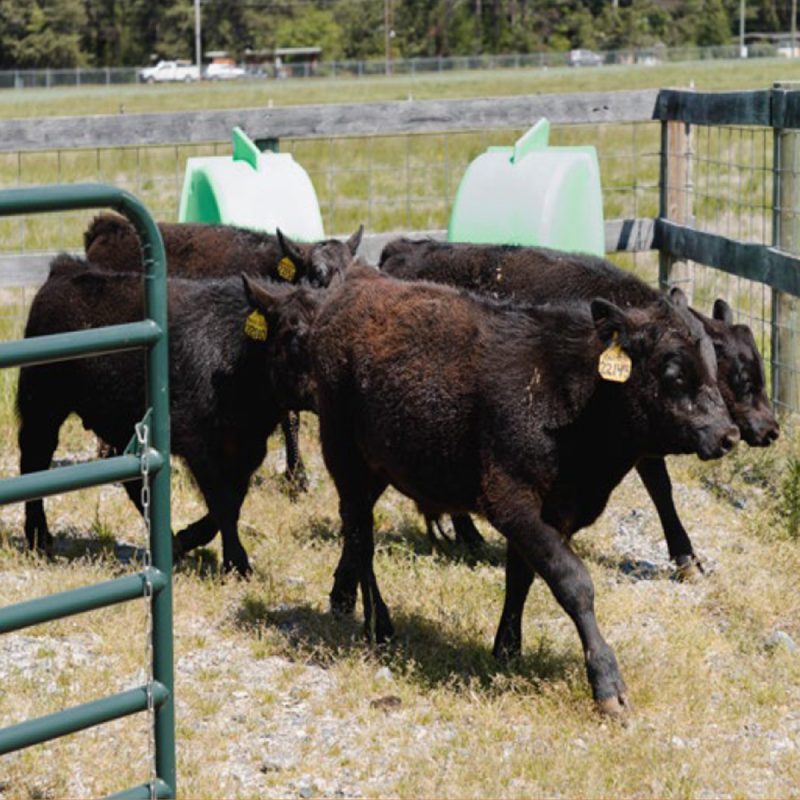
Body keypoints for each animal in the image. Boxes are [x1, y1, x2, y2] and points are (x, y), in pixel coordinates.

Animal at [18, 255, 321, 576]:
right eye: (293, 334)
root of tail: (65, 268)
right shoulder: (199, 443)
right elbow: (222, 502)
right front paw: (237, 563)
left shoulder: (247, 448)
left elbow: (232, 501)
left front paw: (191, 537)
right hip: (41, 404)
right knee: (34, 459)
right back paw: (38, 537)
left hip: (121, 422)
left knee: (133, 479)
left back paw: (170, 543)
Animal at [310, 266, 739, 714]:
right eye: (674, 374)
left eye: (713, 368)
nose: (728, 435)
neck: (570, 403)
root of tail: (361, 278)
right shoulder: (510, 500)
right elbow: (573, 582)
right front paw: (607, 684)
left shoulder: (553, 511)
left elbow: (521, 576)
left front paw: (507, 650)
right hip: (342, 452)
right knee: (362, 536)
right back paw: (379, 623)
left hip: (376, 464)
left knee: (353, 531)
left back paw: (343, 596)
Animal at [380, 239, 779, 572]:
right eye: (742, 379)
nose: (772, 430)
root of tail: (403, 247)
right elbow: (660, 488)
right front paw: (686, 558)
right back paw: (470, 536)